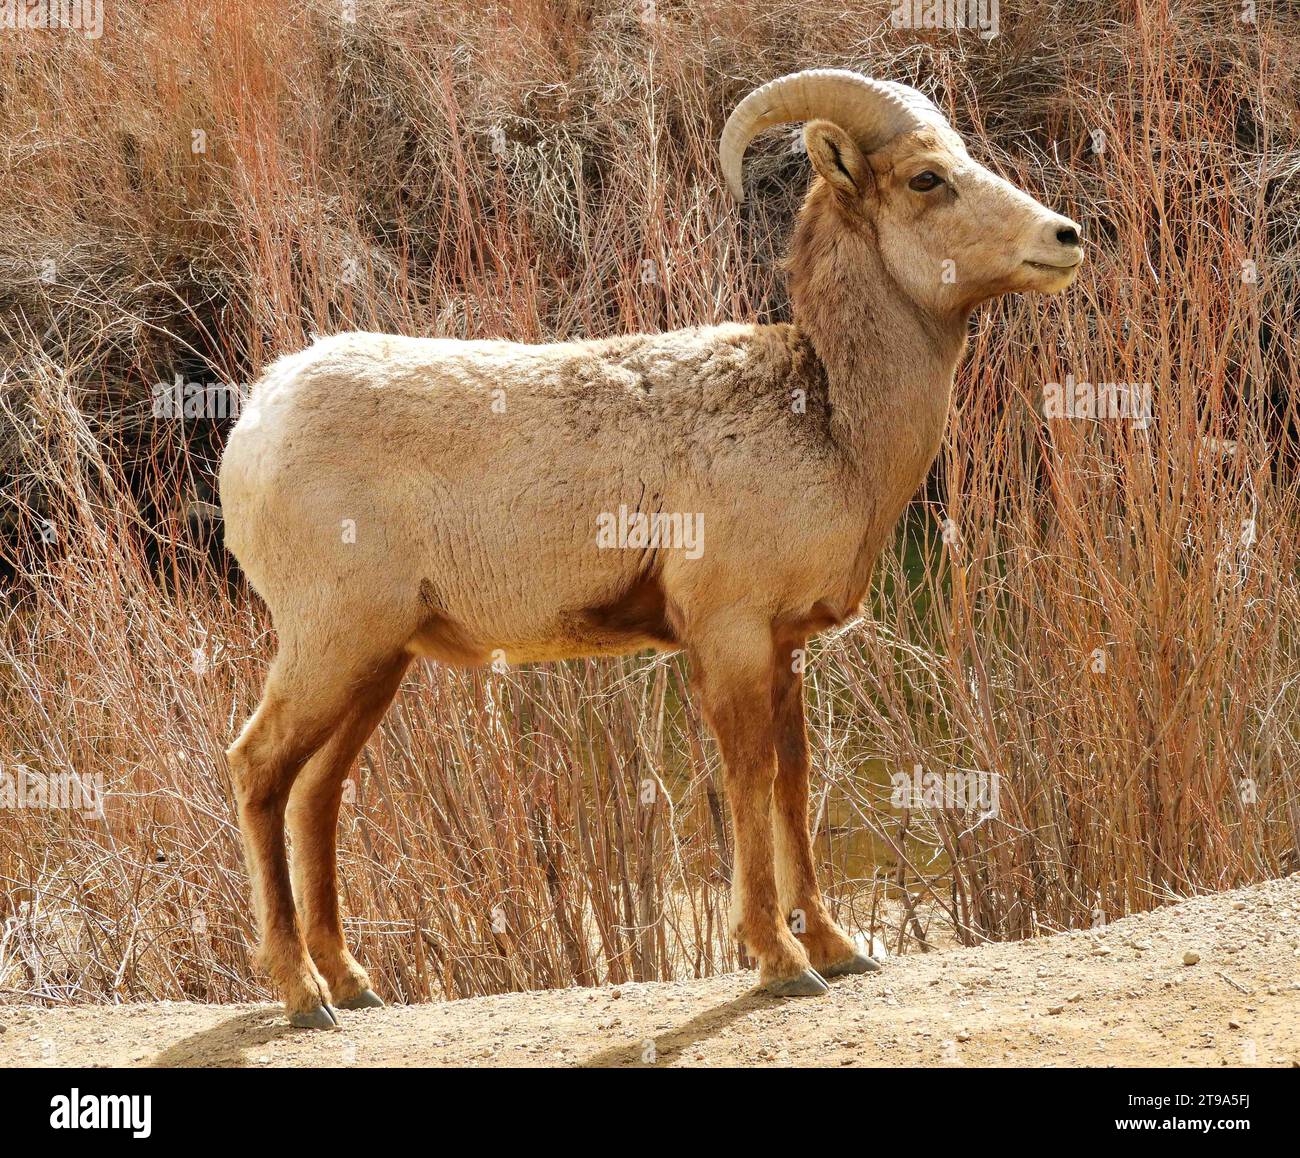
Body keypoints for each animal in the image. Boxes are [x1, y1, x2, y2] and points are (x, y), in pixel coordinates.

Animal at [219, 70, 1083, 1027]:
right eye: (928, 178)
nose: (1066, 237)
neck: (831, 426)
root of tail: (256, 422)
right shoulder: (729, 638)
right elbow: (747, 782)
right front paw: (781, 962)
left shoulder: (786, 651)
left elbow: (792, 785)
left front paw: (838, 948)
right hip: (330, 645)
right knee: (258, 770)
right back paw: (303, 995)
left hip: (377, 663)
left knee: (317, 793)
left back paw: (352, 983)